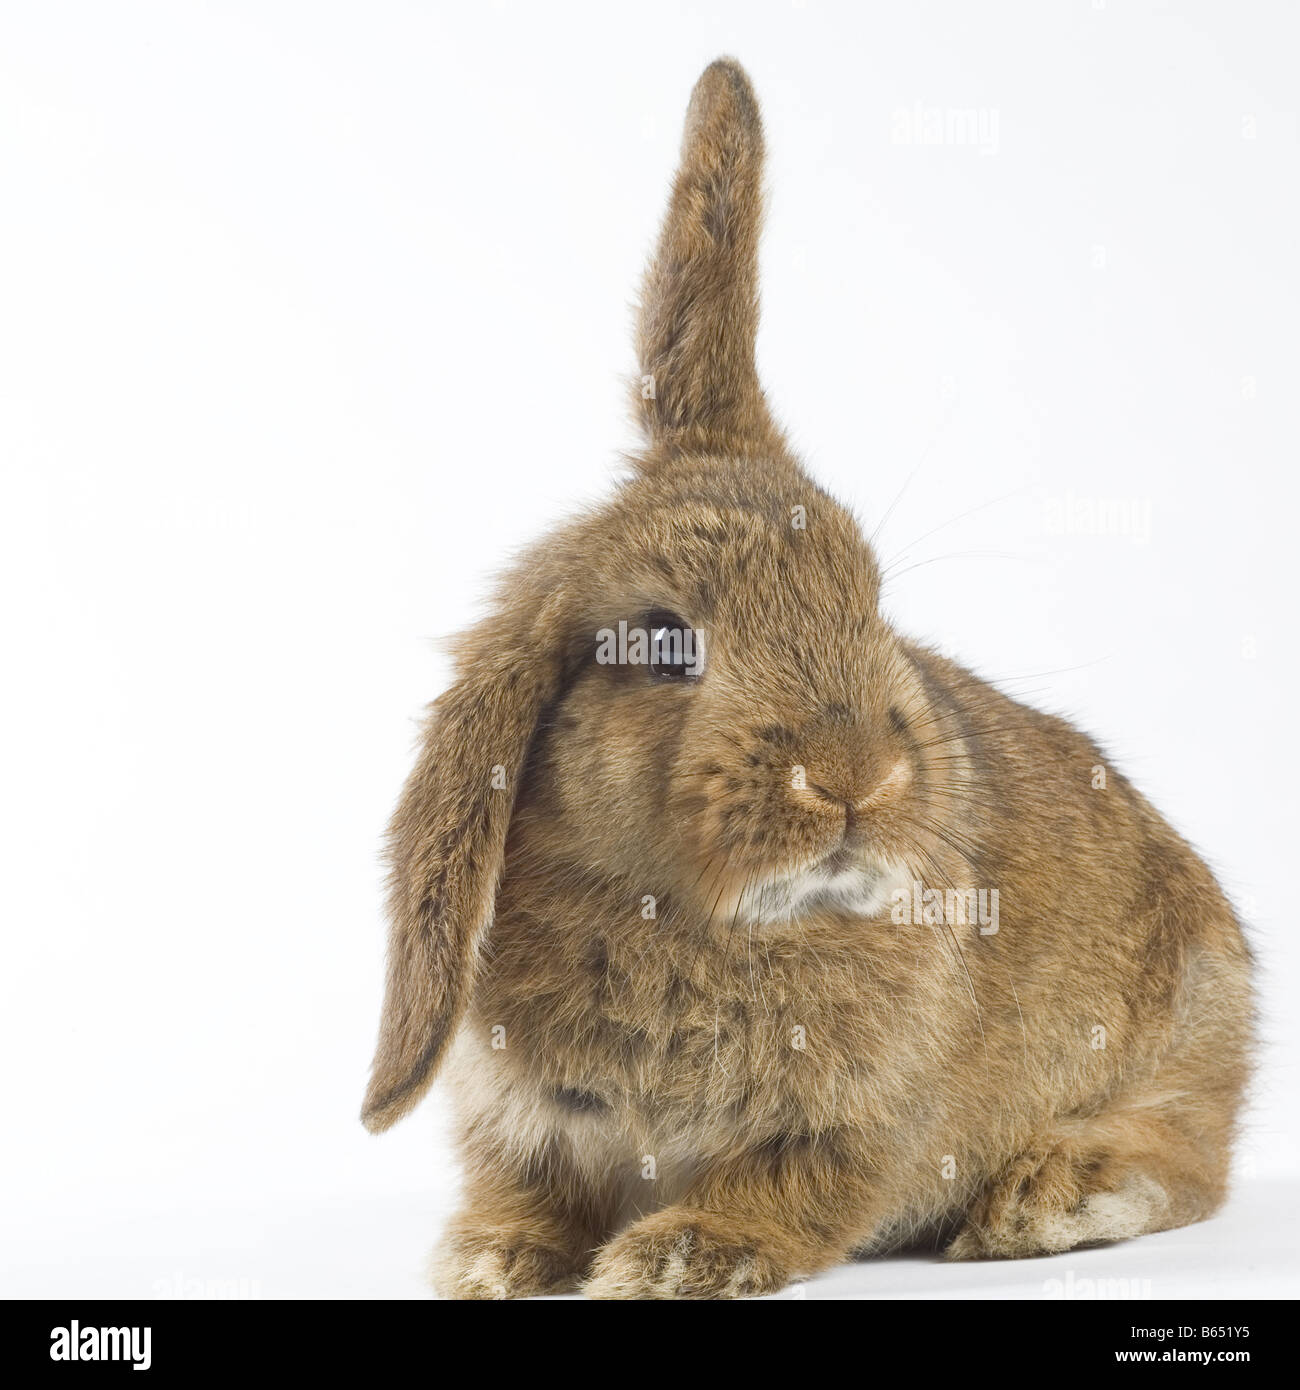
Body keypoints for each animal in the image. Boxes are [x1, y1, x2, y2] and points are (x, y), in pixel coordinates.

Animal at [361, 58, 1254, 1299]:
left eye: (867, 602)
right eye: (662, 643)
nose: (854, 776)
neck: (687, 921)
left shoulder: (857, 1127)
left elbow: (794, 1188)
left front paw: (676, 1254)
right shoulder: (525, 1123)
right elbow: (527, 1190)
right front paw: (492, 1261)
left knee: (1189, 1154)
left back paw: (1047, 1197)